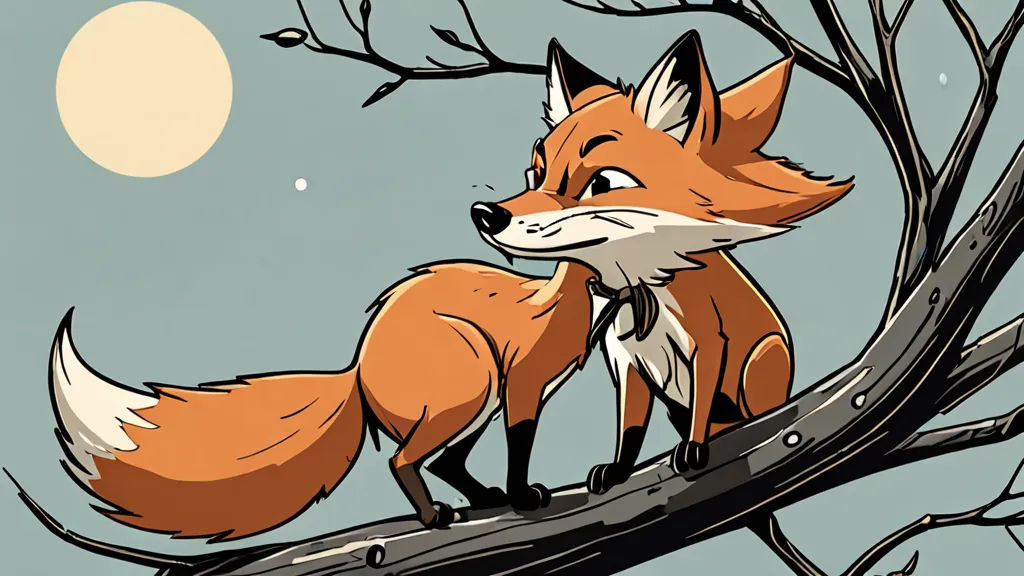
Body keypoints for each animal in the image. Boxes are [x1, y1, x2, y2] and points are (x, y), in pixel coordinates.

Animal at [473, 31, 853, 494]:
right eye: (534, 175)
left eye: (602, 183)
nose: (485, 214)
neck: (641, 291)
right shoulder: (628, 365)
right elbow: (630, 430)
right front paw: (617, 470)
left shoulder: (709, 343)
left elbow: (701, 406)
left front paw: (694, 448)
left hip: (763, 358)